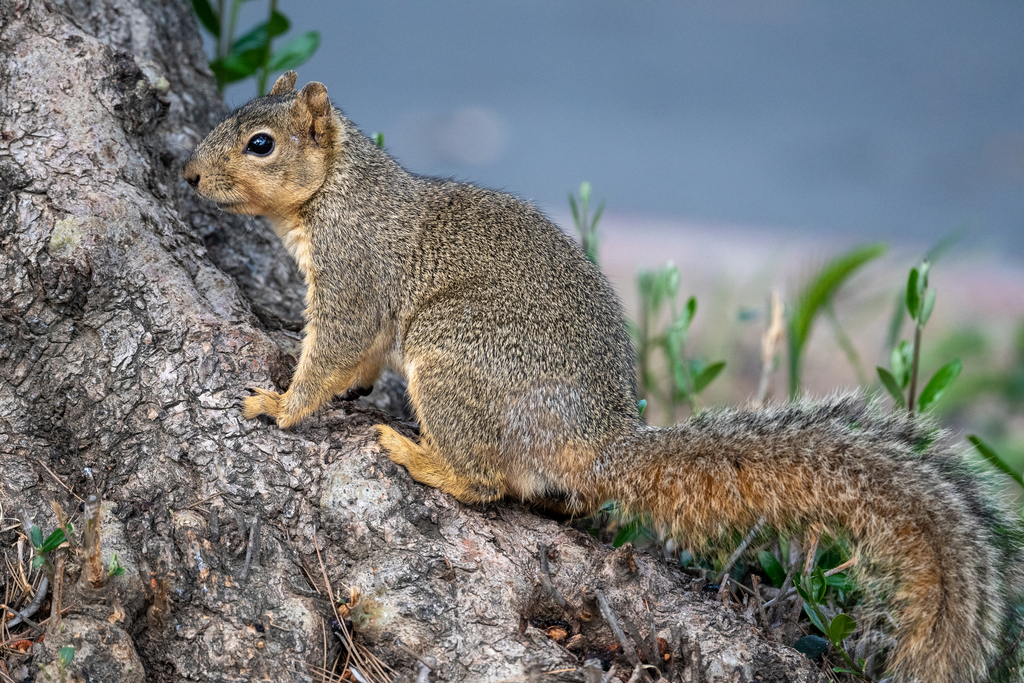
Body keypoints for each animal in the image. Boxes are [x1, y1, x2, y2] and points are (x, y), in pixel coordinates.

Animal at [182, 71, 1023, 682]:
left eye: (259, 143)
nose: (186, 174)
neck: (337, 188)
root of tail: (595, 442)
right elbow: (350, 360)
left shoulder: (357, 273)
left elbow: (335, 348)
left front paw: (280, 404)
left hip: (453, 352)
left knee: (484, 478)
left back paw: (421, 455)